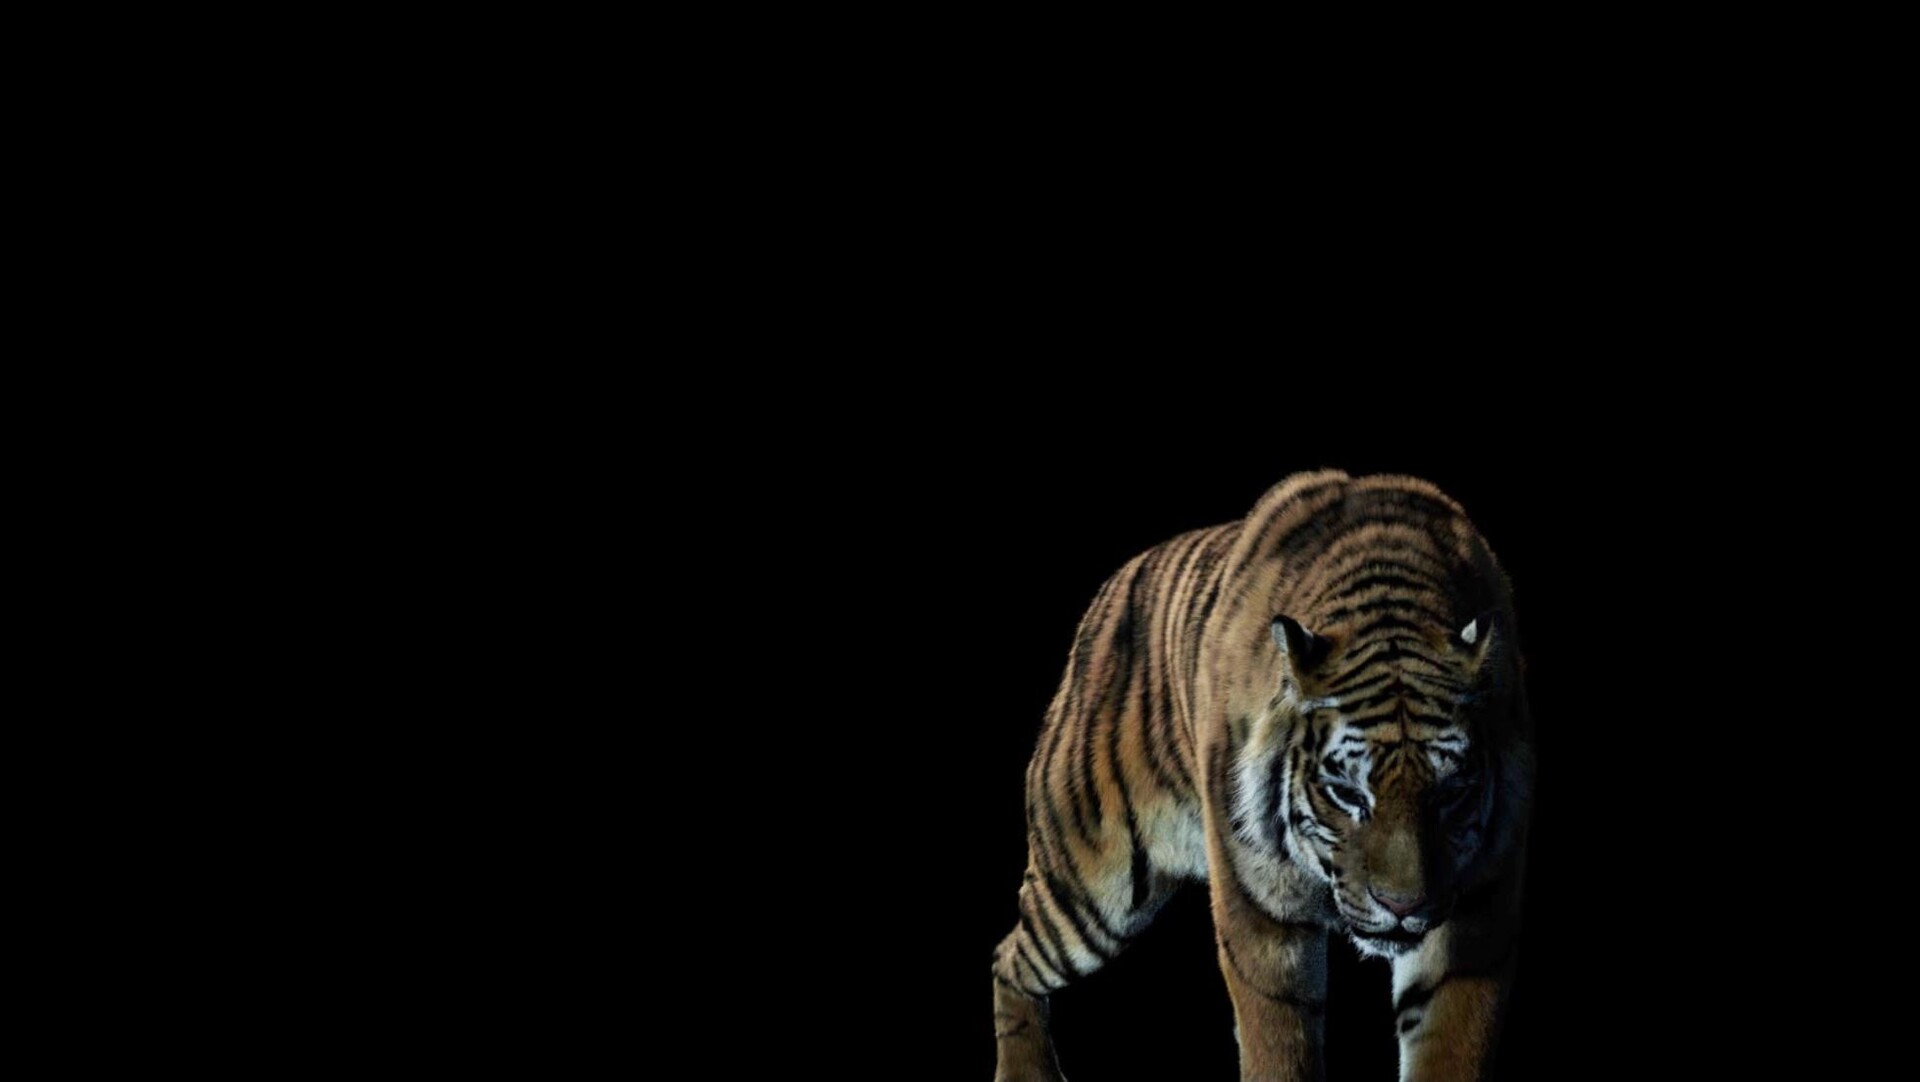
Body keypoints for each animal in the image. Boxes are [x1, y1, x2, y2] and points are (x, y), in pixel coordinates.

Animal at [990, 470, 1535, 1082]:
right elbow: (1279, 1042)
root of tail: (1110, 590)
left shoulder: (1476, 907)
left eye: (1451, 794)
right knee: (1009, 958)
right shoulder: (1262, 908)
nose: (1402, 907)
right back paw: (1025, 1071)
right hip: (1093, 886)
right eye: (1346, 793)